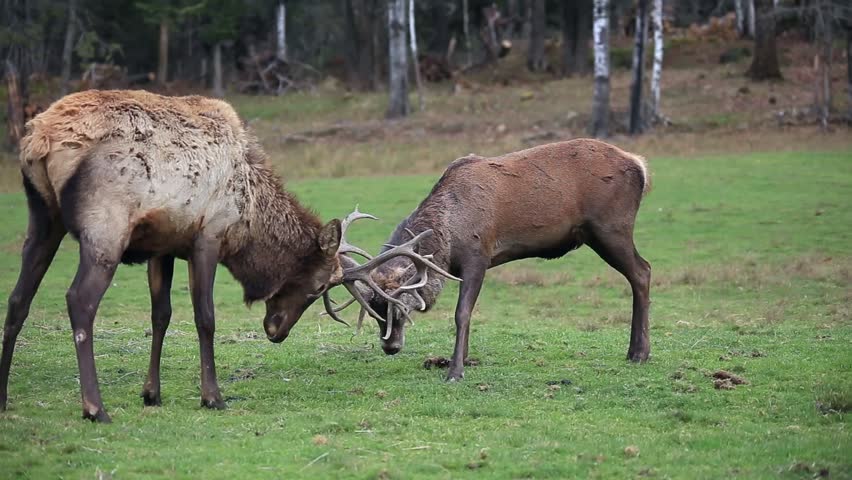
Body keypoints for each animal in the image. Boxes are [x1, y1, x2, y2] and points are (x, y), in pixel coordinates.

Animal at [0, 90, 451, 422]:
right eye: (319, 286)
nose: (276, 331)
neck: (250, 211)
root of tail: (38, 141)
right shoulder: (208, 236)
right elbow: (205, 318)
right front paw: (212, 396)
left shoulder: (163, 246)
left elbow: (161, 315)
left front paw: (152, 393)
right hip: (104, 228)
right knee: (79, 301)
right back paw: (95, 408)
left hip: (43, 218)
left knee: (18, 299)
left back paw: (4, 397)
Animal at [323, 139, 652, 382]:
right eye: (374, 310)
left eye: (402, 308)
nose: (390, 347)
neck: (449, 232)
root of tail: (640, 165)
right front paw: (460, 359)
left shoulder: (478, 256)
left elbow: (462, 313)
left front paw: (455, 371)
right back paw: (634, 352)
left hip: (610, 227)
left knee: (642, 271)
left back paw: (640, 353)